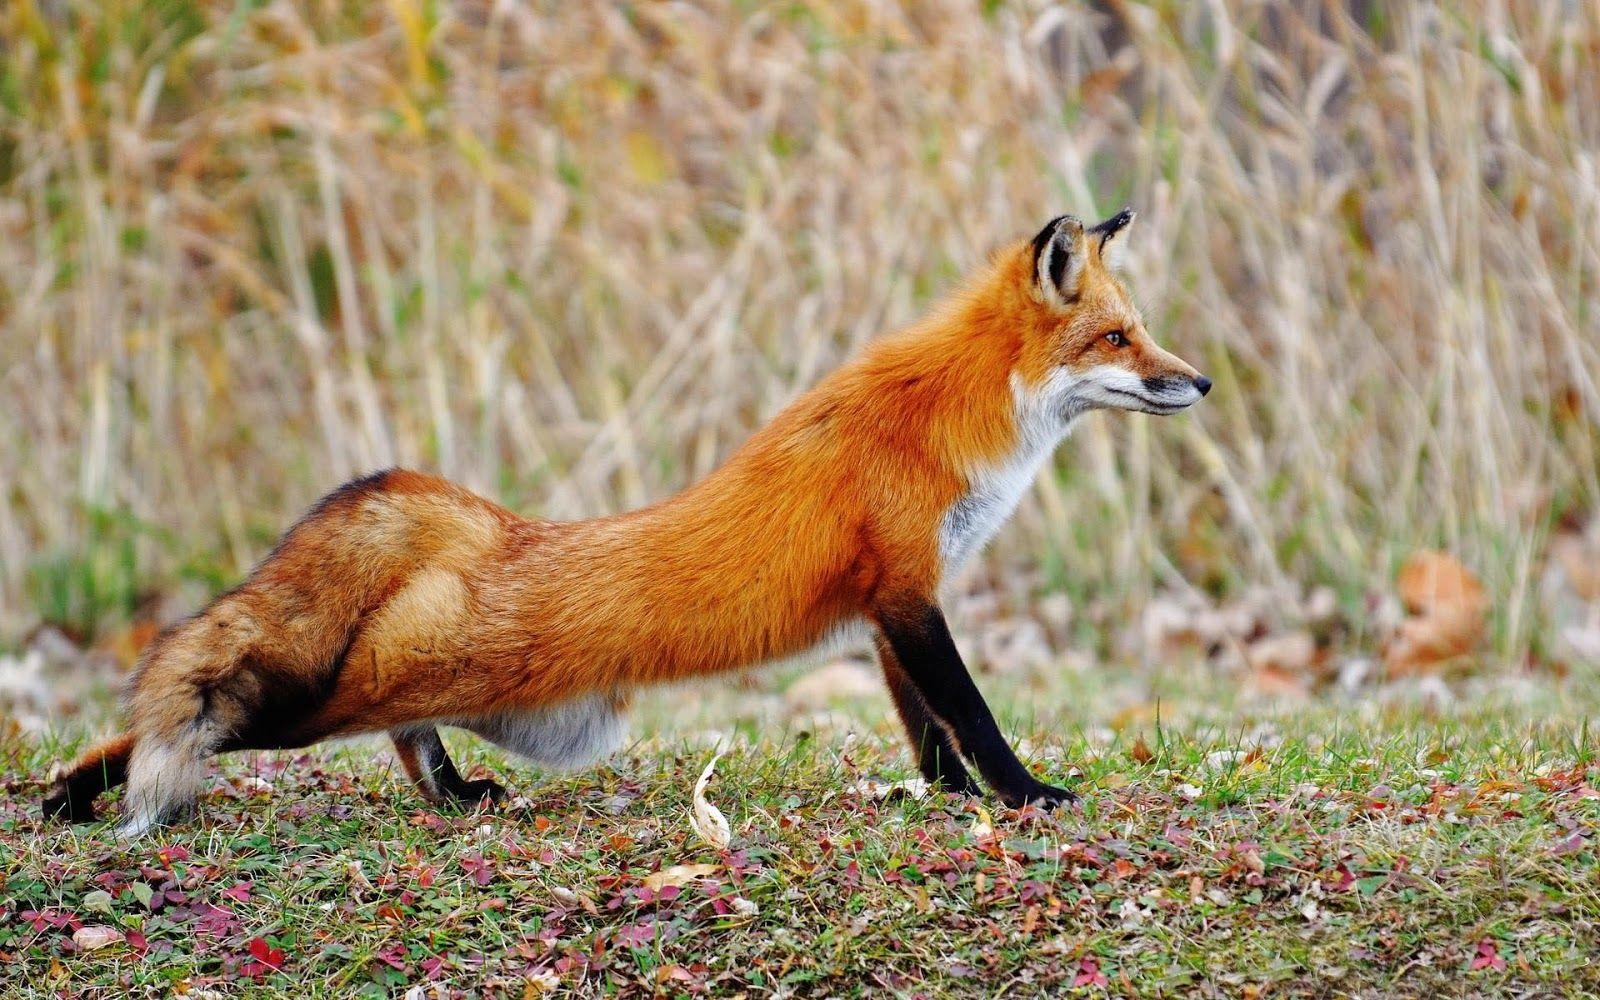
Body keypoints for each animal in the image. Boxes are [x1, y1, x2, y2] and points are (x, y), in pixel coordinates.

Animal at [42, 210, 1209, 837]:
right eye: (1118, 337)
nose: (1197, 380)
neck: (951, 422)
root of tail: (484, 528)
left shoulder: (889, 607)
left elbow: (928, 730)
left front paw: (945, 797)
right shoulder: (909, 592)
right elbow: (970, 711)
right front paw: (1024, 795)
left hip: (421, 685)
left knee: (396, 733)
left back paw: (452, 796)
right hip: (341, 696)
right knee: (216, 716)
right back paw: (71, 791)